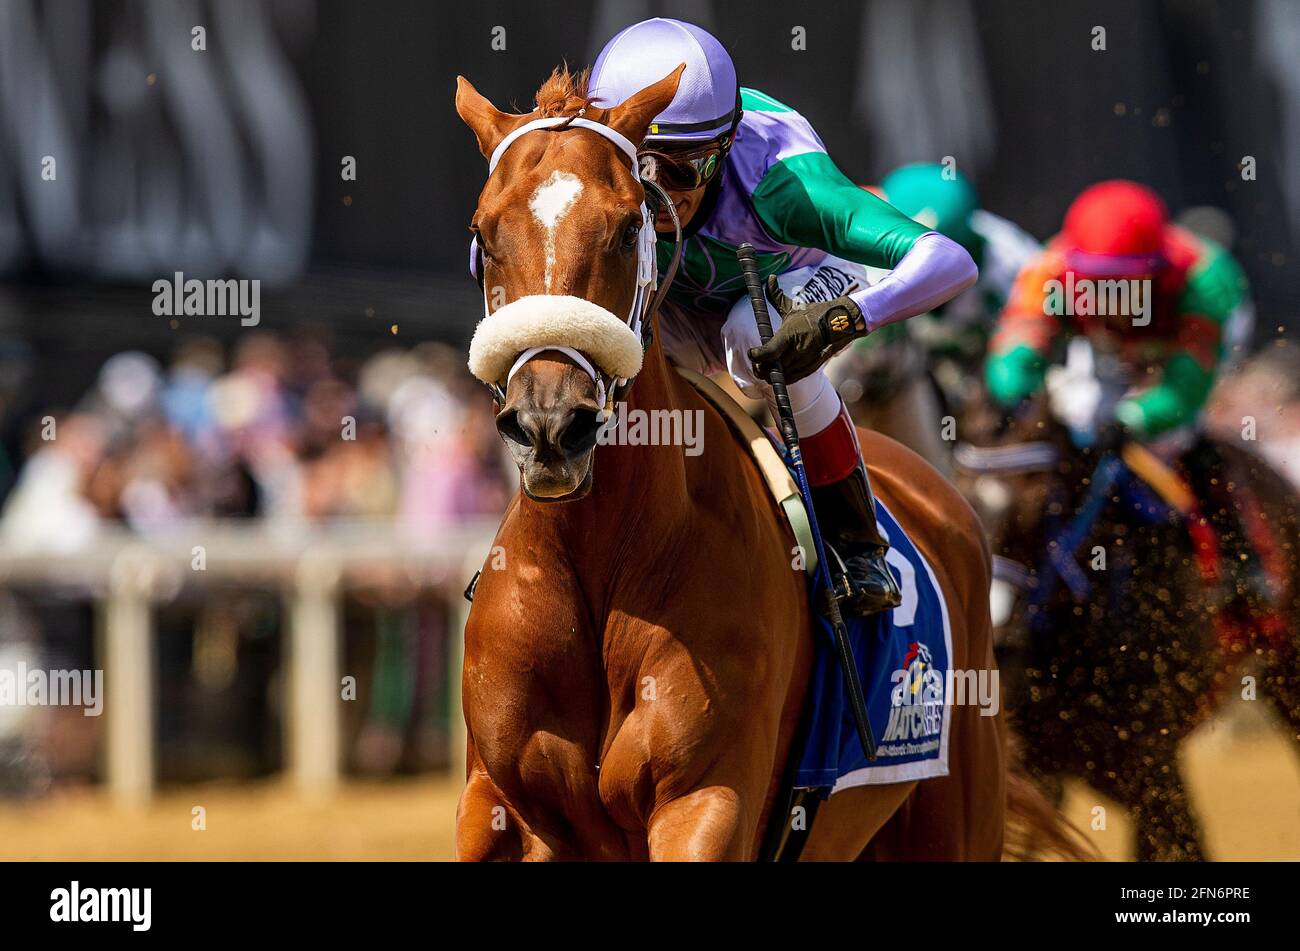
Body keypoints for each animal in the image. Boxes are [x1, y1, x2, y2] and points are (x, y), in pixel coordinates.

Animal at [450, 64, 1065, 860]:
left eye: (626, 227)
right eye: (483, 234)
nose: (551, 423)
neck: (595, 564)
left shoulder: (707, 801)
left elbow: (938, 253)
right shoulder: (496, 804)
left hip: (953, 816)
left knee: (755, 335)